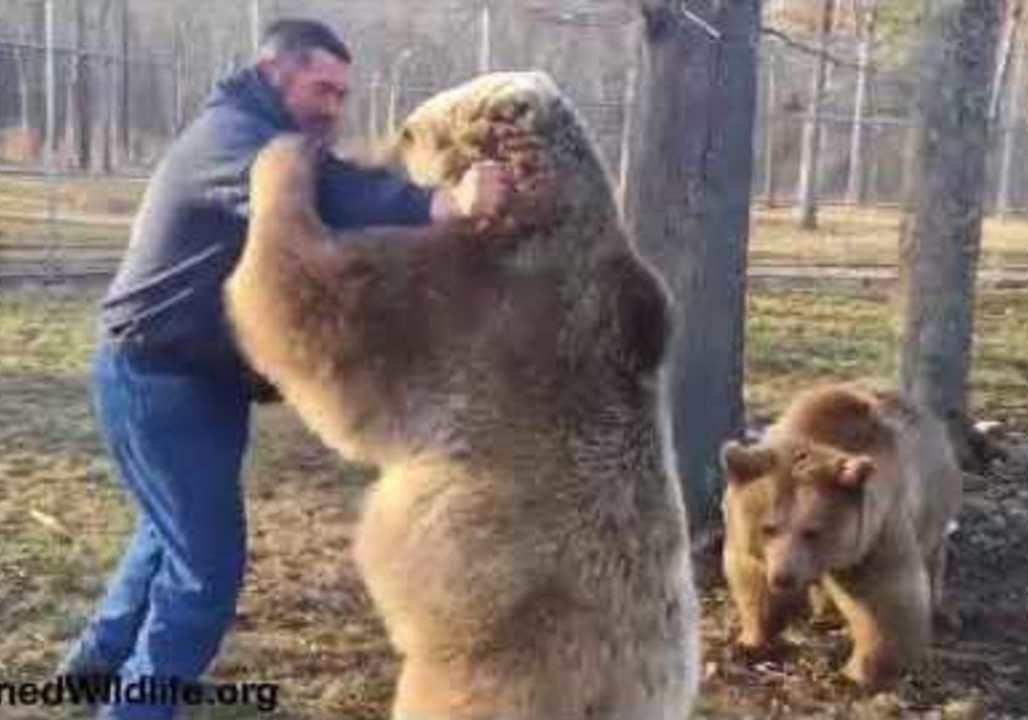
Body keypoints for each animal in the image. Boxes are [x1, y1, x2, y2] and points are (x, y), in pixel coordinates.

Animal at [225, 71, 700, 720]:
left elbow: (314, 304)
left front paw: (283, 159)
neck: (533, 210)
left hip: (500, 668)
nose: (366, 149)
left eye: (408, 130)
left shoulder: (467, 305)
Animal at [719, 382, 962, 689]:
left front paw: (854, 675)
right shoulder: (754, 545)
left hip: (934, 501)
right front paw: (749, 643)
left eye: (812, 531)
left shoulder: (873, 532)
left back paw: (942, 612)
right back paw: (822, 614)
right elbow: (753, 579)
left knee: (933, 556)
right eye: (768, 527)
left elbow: (884, 600)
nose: (784, 577)